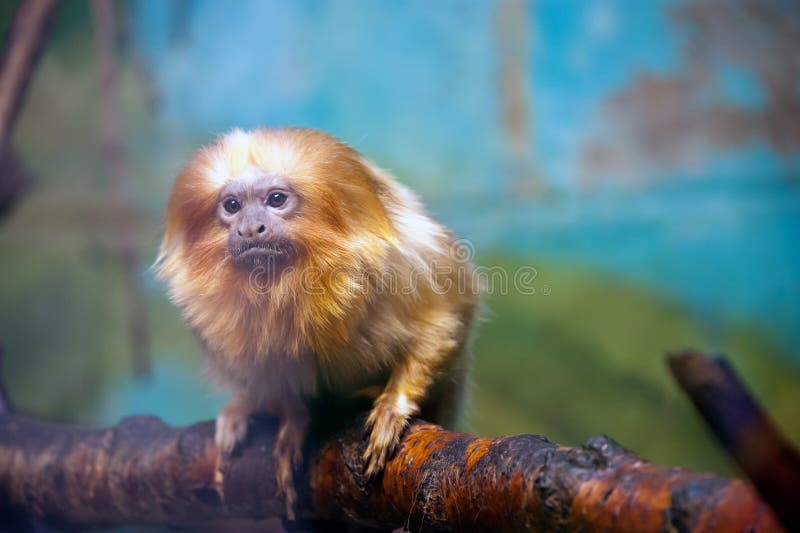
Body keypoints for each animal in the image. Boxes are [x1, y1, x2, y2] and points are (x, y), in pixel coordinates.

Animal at [156, 127, 478, 519]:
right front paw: (293, 426)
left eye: (276, 199)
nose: (250, 228)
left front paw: (393, 408)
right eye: (232, 206)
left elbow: (444, 315)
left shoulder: (406, 260)